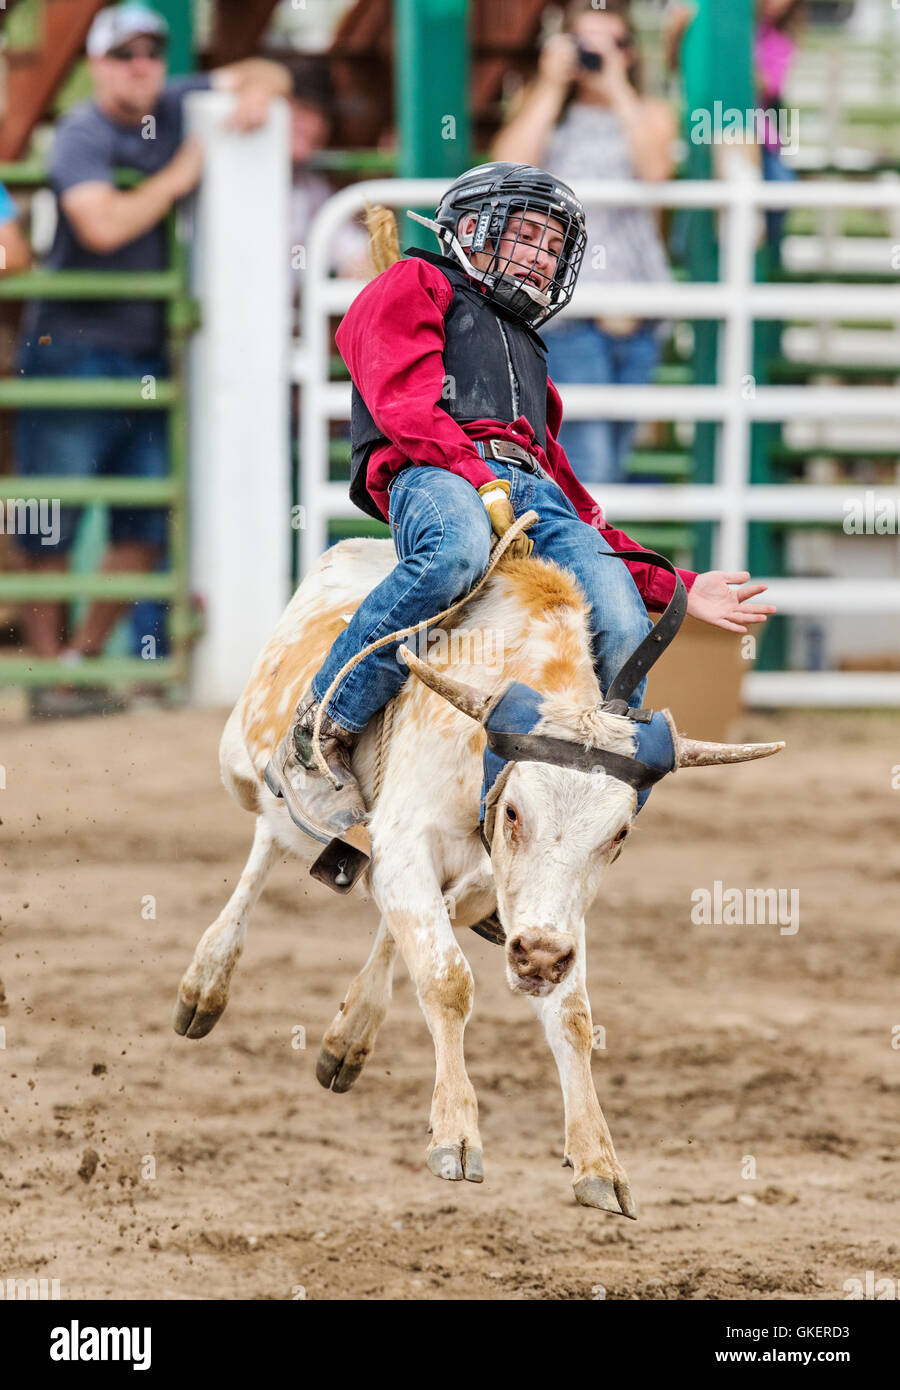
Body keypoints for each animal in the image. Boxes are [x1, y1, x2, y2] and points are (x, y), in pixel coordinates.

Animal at [173, 537, 783, 1217]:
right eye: (514, 810)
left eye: (620, 834)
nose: (537, 957)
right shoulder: (406, 847)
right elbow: (447, 980)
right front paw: (456, 1134)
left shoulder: (548, 912)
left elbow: (570, 1015)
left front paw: (598, 1160)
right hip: (252, 779)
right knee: (264, 849)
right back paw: (206, 983)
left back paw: (349, 1037)